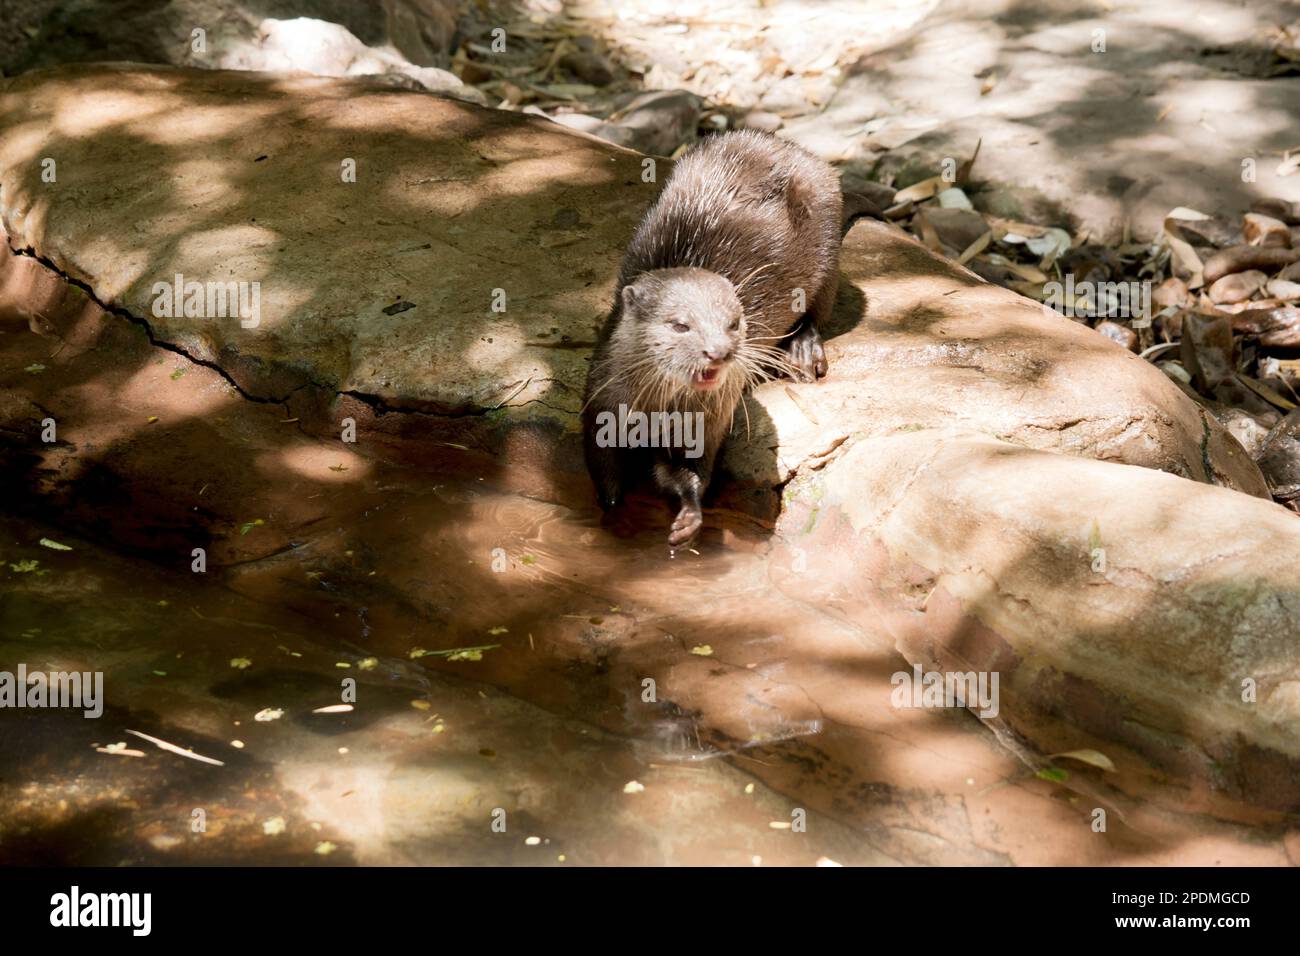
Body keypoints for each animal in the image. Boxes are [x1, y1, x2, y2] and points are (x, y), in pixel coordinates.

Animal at [583, 130, 855, 551]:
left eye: (734, 323)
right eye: (680, 325)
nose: (719, 352)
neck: (655, 410)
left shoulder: (706, 423)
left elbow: (689, 472)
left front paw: (689, 518)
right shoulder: (601, 400)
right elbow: (603, 464)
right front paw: (614, 514)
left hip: (827, 238)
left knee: (817, 308)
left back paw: (803, 350)